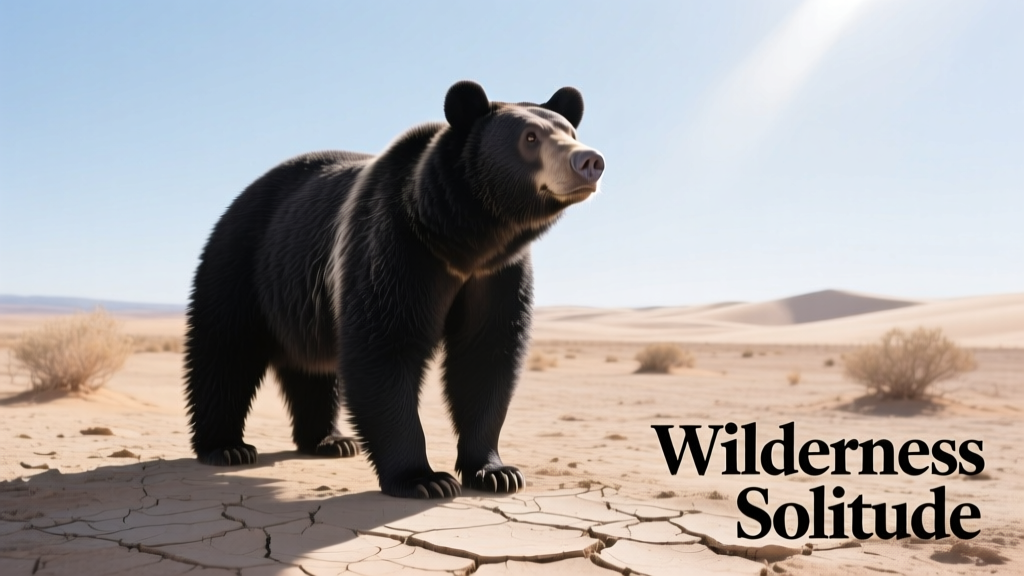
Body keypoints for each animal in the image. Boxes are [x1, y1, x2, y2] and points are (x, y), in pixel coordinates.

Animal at [184, 81, 604, 499]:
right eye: (530, 137)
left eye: (570, 132)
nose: (589, 161)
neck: (464, 237)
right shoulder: (398, 247)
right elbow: (386, 347)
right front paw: (424, 478)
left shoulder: (497, 274)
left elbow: (486, 356)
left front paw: (496, 472)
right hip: (243, 261)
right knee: (225, 349)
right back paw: (227, 447)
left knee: (312, 367)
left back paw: (329, 440)